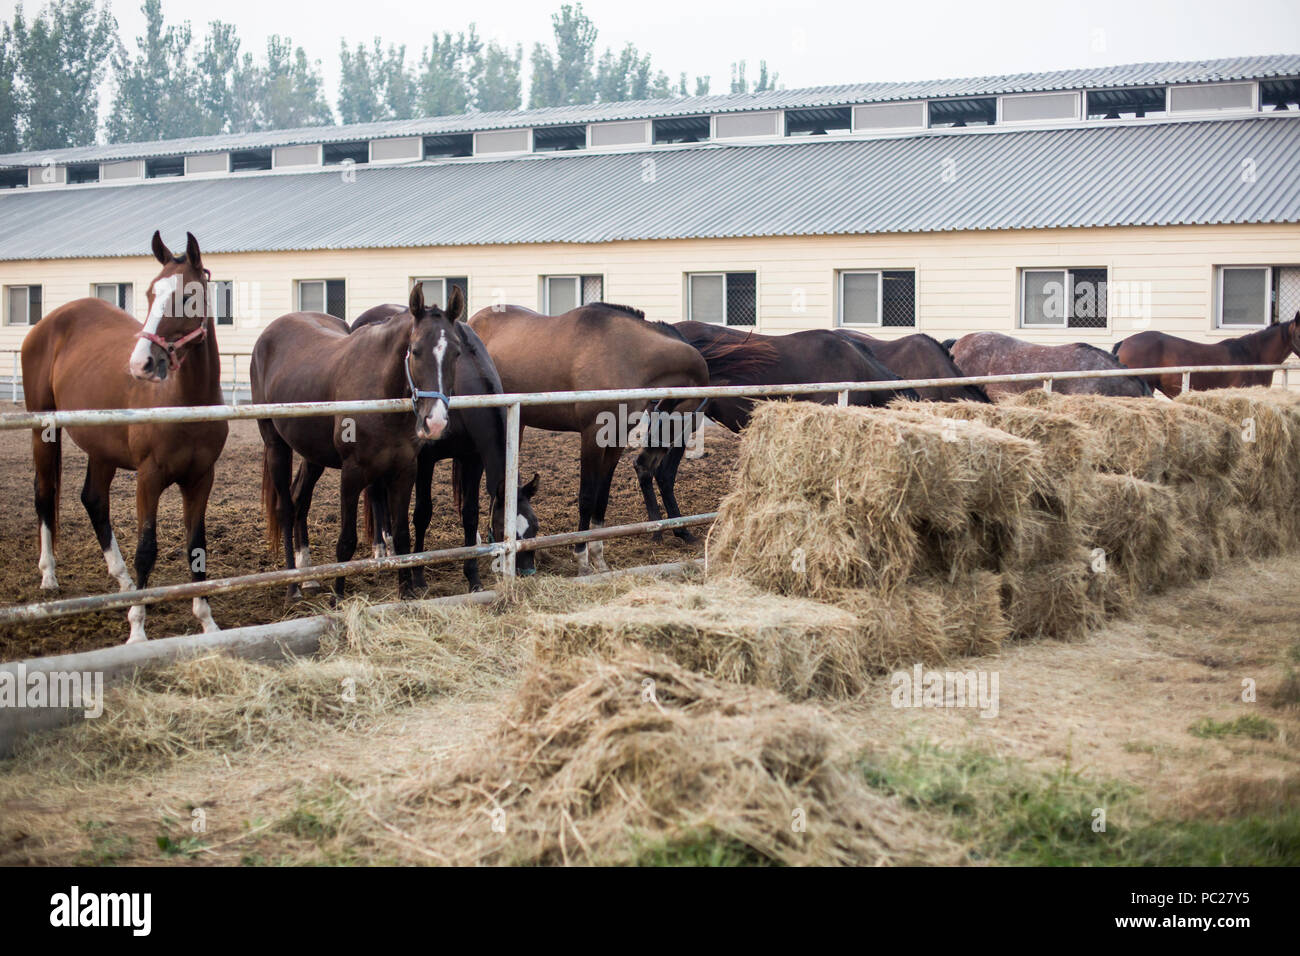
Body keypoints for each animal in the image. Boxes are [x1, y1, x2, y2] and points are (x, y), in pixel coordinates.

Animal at [20, 231, 228, 644]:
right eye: (148, 293)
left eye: (187, 297)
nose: (141, 364)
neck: (184, 401)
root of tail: (49, 322)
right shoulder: (149, 478)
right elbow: (146, 547)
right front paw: (137, 631)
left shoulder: (201, 478)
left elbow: (197, 546)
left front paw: (207, 621)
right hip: (44, 431)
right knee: (44, 492)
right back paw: (49, 575)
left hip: (101, 449)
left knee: (94, 500)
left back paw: (125, 583)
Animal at [251, 284, 464, 601]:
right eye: (415, 350)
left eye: (457, 352)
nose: (435, 422)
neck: (380, 391)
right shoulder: (352, 473)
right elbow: (346, 541)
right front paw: (339, 595)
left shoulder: (404, 471)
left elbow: (402, 535)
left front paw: (406, 592)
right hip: (276, 446)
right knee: (285, 509)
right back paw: (293, 586)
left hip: (312, 455)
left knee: (301, 499)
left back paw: (307, 576)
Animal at [350, 303, 542, 590]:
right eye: (502, 529)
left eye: (535, 527)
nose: (527, 573)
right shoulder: (425, 461)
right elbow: (422, 513)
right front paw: (418, 575)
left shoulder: (473, 458)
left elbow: (470, 513)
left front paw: (473, 576)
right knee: (376, 493)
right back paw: (382, 548)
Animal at [467, 303, 709, 574]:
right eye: (682, 419)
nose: (645, 462)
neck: (627, 355)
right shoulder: (592, 436)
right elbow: (586, 496)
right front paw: (582, 557)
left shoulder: (615, 439)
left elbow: (601, 497)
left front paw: (598, 557)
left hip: (517, 422)